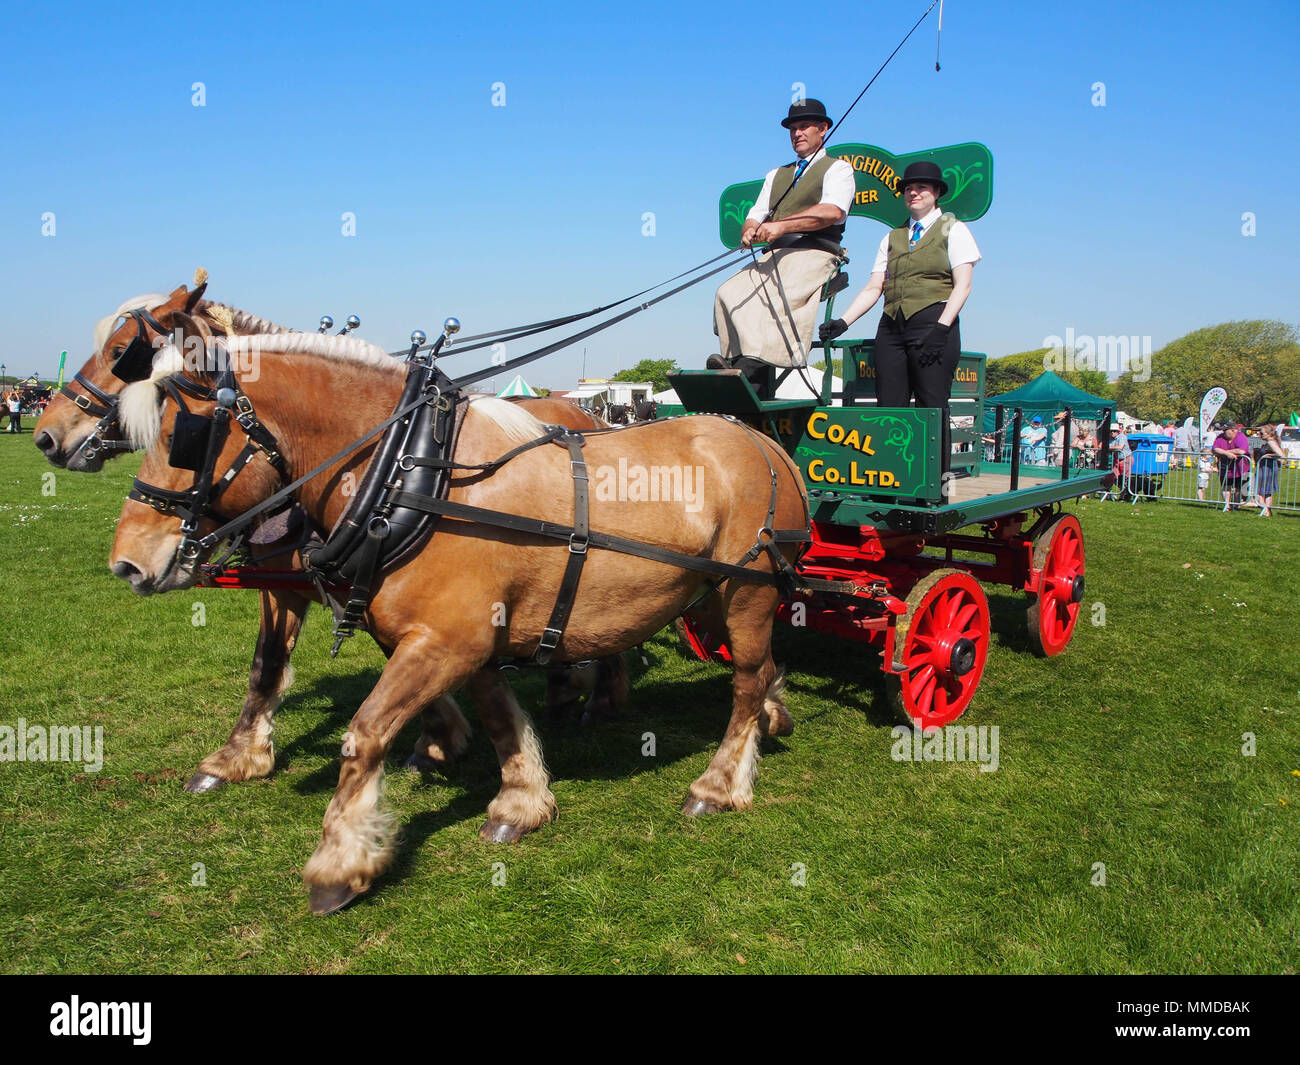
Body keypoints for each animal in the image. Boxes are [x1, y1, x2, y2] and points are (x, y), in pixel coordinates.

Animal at [36, 284, 623, 793]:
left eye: (120, 353)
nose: (46, 436)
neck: (378, 460)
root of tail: (583, 411)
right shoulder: (300, 583)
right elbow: (272, 664)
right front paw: (239, 757)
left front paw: (439, 738)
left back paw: (596, 696)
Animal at [108, 329, 807, 913]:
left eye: (183, 437)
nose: (127, 563)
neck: (408, 476)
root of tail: (765, 441)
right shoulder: (465, 640)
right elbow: (497, 714)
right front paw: (520, 801)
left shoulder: (448, 641)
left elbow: (364, 735)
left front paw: (338, 863)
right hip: (708, 596)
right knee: (766, 666)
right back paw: (770, 720)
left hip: (745, 593)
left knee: (746, 680)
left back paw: (719, 783)